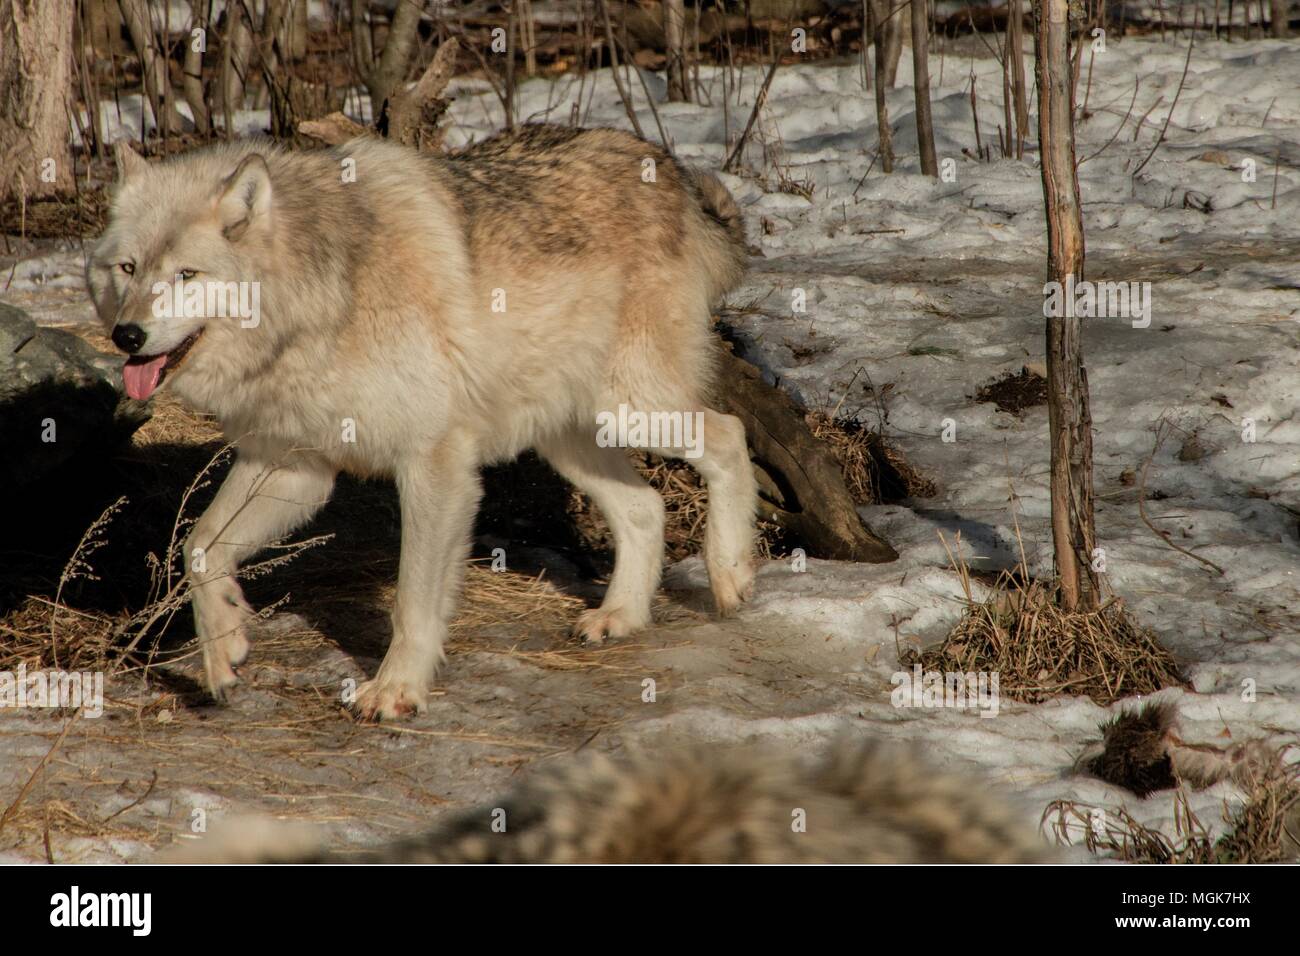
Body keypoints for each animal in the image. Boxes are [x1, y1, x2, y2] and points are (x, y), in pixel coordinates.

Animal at [88, 125, 758, 720]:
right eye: (128, 268)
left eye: (187, 275)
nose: (128, 336)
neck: (320, 301)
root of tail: (666, 165)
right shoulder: (293, 466)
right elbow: (198, 547)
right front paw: (223, 651)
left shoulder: (433, 463)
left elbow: (412, 602)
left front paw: (395, 691)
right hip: (568, 437)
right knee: (646, 507)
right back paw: (620, 617)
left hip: (633, 410)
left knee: (730, 435)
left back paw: (730, 579)